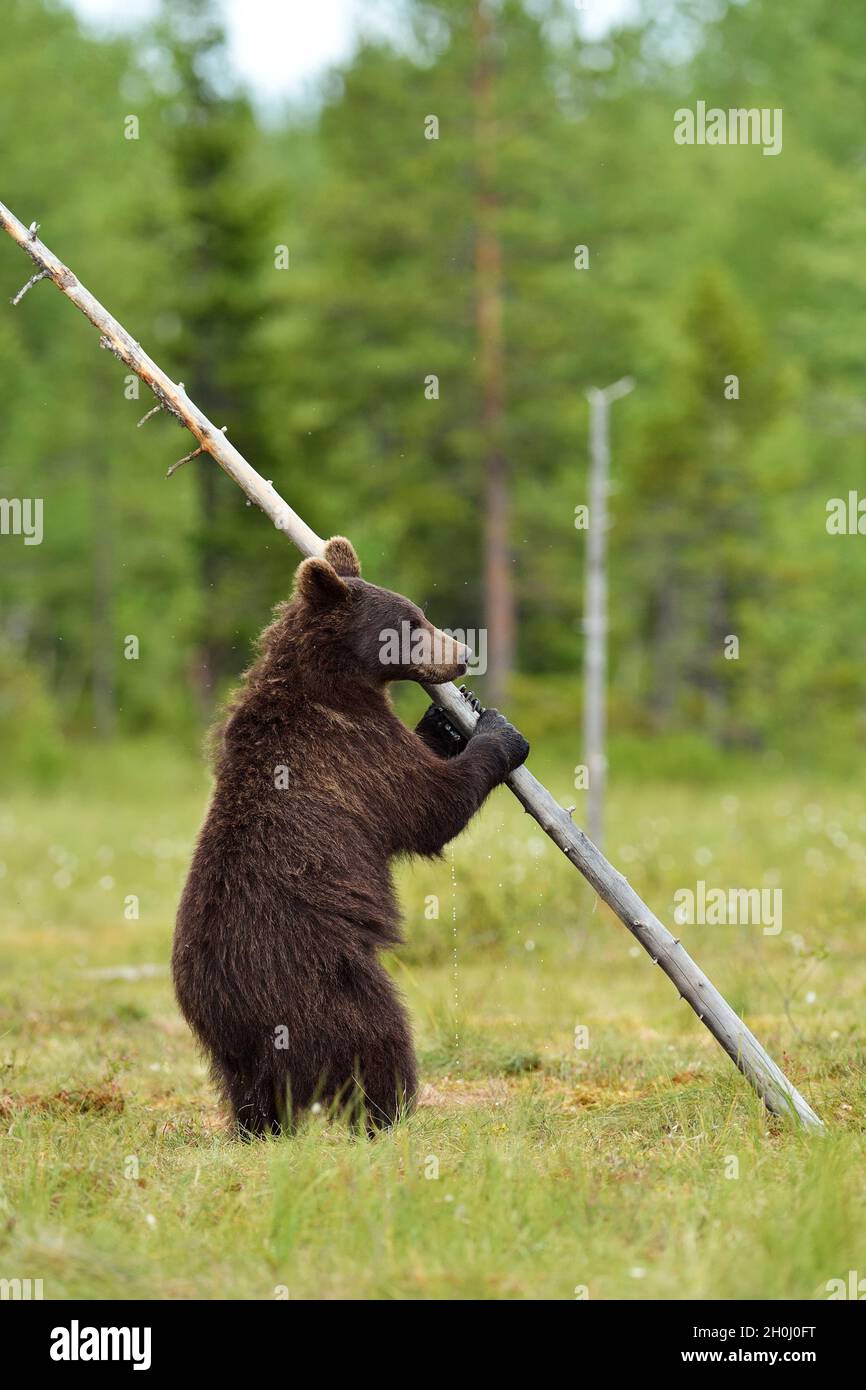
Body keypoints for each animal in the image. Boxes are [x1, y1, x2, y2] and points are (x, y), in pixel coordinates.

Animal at [172, 536, 529, 1137]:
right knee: (378, 1037)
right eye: (410, 623)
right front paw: (497, 732)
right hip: (322, 978)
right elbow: (428, 805)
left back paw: (260, 1128)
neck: (335, 683)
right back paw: (392, 1111)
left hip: (238, 1040)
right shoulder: (352, 751)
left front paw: (447, 720)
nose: (461, 651)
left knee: (252, 1092)